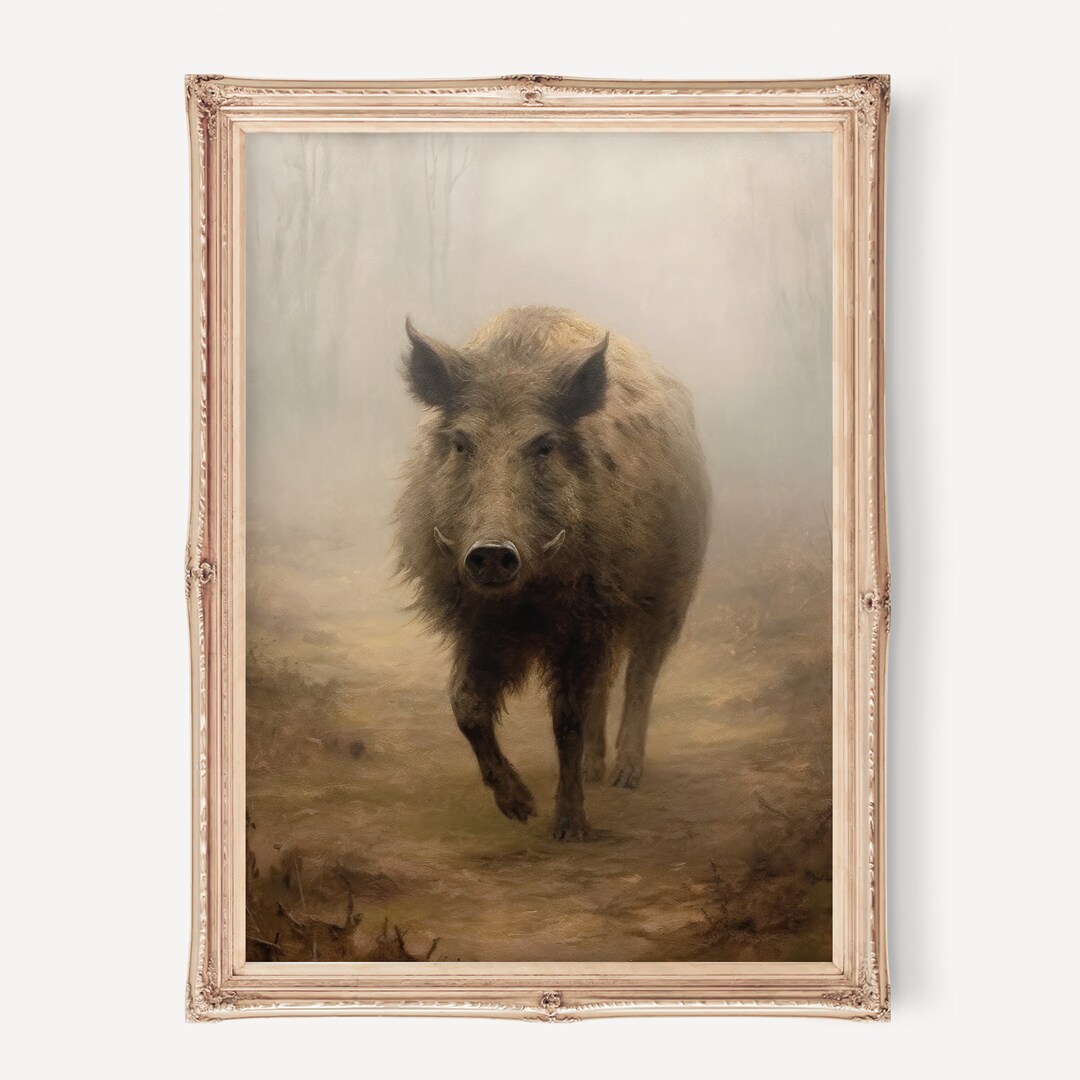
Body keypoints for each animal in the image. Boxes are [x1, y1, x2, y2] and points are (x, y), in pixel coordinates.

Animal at [394, 307, 710, 840]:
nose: (492, 551)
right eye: (461, 444)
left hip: (670, 589)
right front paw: (520, 809)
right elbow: (465, 704)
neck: (523, 602)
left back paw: (625, 776)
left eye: (543, 445)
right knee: (606, 680)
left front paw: (569, 829)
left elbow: (566, 718)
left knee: (641, 673)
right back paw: (596, 770)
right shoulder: (477, 621)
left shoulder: (589, 611)